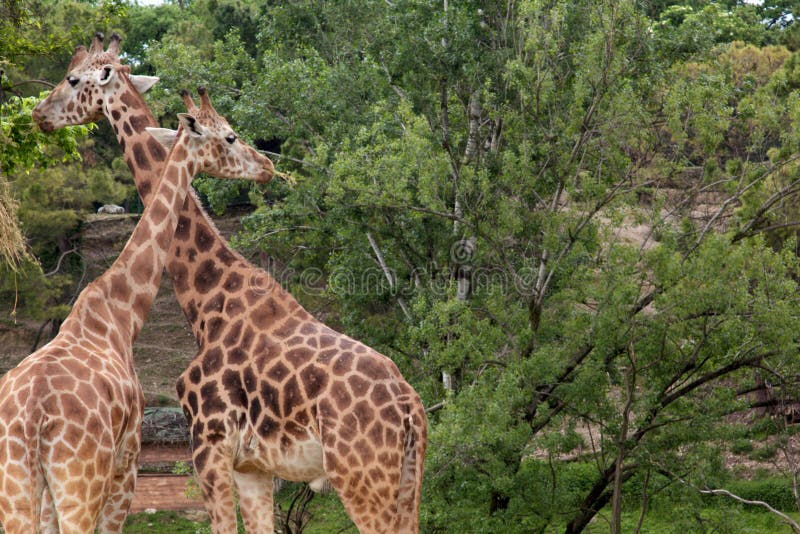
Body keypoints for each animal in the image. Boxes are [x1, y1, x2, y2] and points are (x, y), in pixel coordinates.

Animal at [0, 87, 274, 534]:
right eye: (230, 135)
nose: (266, 166)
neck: (121, 312)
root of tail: (31, 419)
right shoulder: (127, 462)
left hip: (17, 486)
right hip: (80, 480)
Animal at [32, 33, 427, 533]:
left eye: (72, 80)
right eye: (230, 134)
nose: (38, 114)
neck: (206, 297)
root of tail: (412, 410)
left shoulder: (208, 444)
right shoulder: (252, 466)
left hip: (361, 476)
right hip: (406, 482)